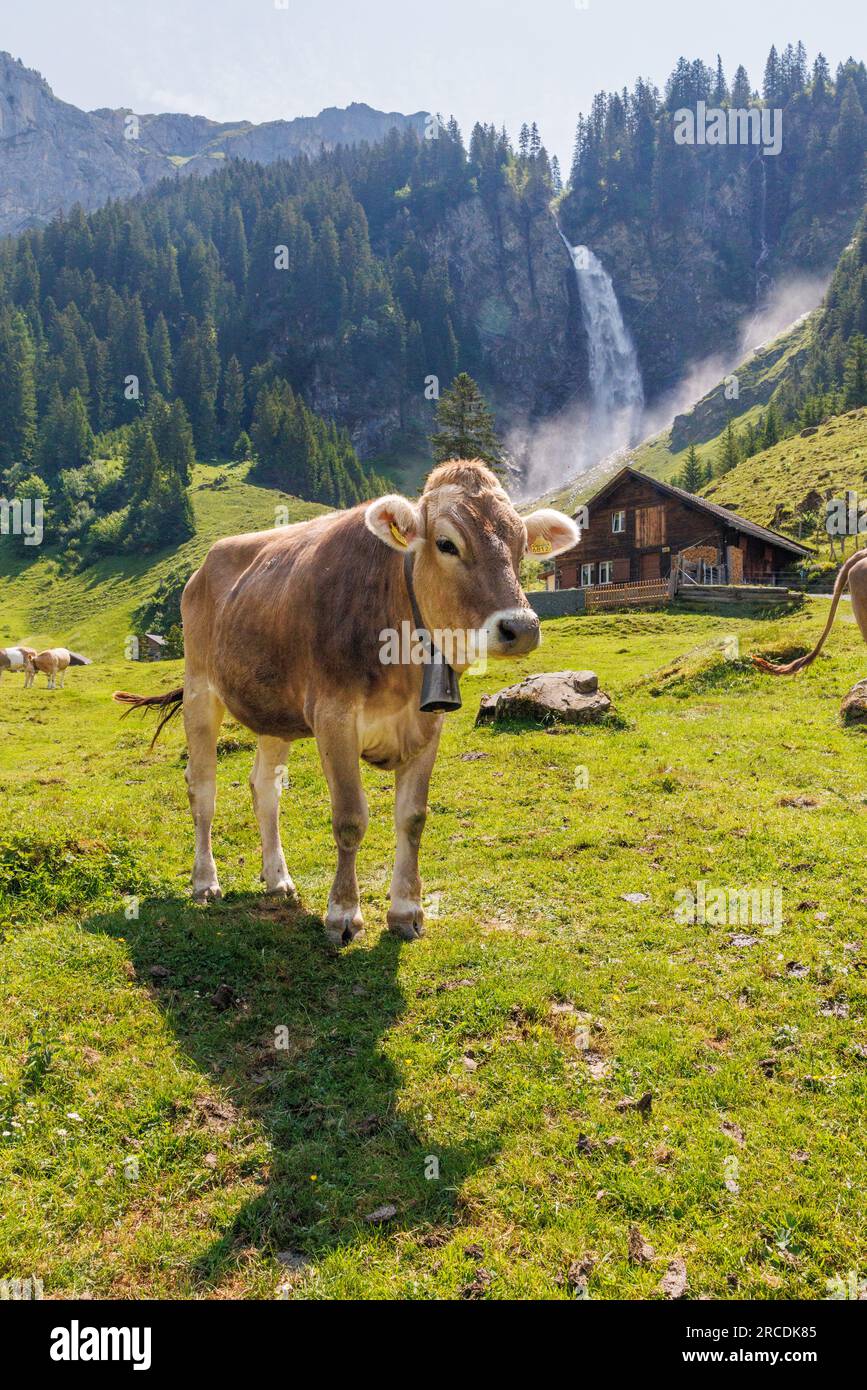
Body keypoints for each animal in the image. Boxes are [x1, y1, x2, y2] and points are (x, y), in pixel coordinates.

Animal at [114, 460, 580, 943]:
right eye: (447, 543)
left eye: (521, 546)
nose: (521, 627)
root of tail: (206, 564)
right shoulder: (333, 717)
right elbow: (350, 818)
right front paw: (342, 914)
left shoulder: (428, 724)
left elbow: (413, 818)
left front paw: (406, 910)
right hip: (201, 690)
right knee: (202, 786)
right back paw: (205, 882)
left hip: (274, 708)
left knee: (264, 787)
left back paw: (277, 878)